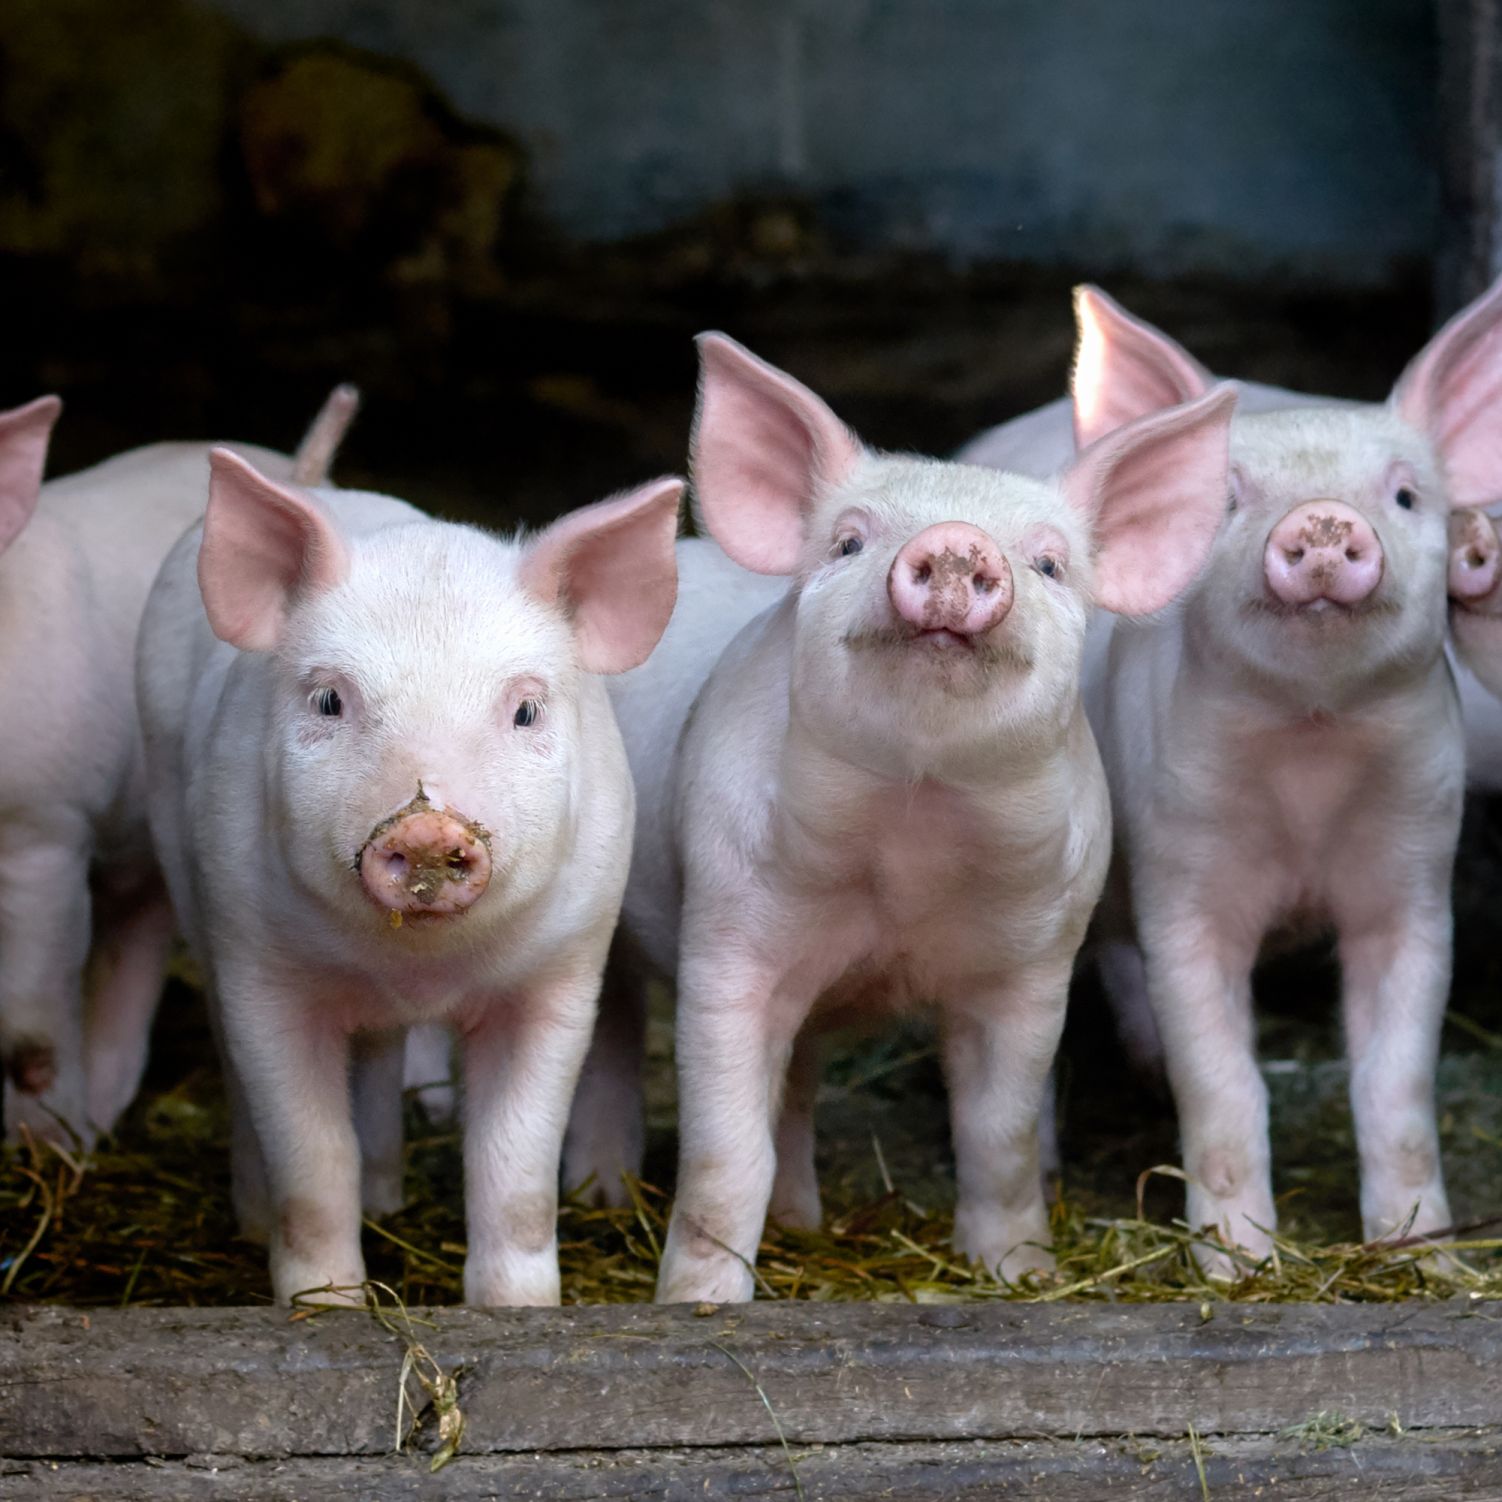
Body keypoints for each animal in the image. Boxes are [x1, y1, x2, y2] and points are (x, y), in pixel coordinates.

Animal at [135, 443, 682, 1306]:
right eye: (329, 699)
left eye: (525, 711)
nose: (427, 826)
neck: (417, 969)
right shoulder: (260, 969)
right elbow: (313, 1158)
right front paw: (324, 1304)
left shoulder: (562, 976)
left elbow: (514, 1162)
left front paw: (519, 1309)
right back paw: (260, 1219)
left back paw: (388, 1199)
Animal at [563, 331, 1238, 1303]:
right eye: (848, 541)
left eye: (1049, 564)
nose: (955, 543)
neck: (914, 833)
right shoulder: (728, 934)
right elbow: (724, 1151)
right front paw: (697, 1304)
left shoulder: (1032, 963)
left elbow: (997, 1134)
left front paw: (1018, 1273)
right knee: (615, 1039)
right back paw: (603, 1197)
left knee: (799, 1082)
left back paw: (802, 1222)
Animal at [967, 281, 1502, 1274]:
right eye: (1227, 499)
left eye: (1407, 495)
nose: (1324, 522)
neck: (1309, 752)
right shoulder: (1184, 873)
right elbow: (1223, 1081)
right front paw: (1237, 1262)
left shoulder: (1413, 877)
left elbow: (1395, 1084)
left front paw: (1424, 1258)